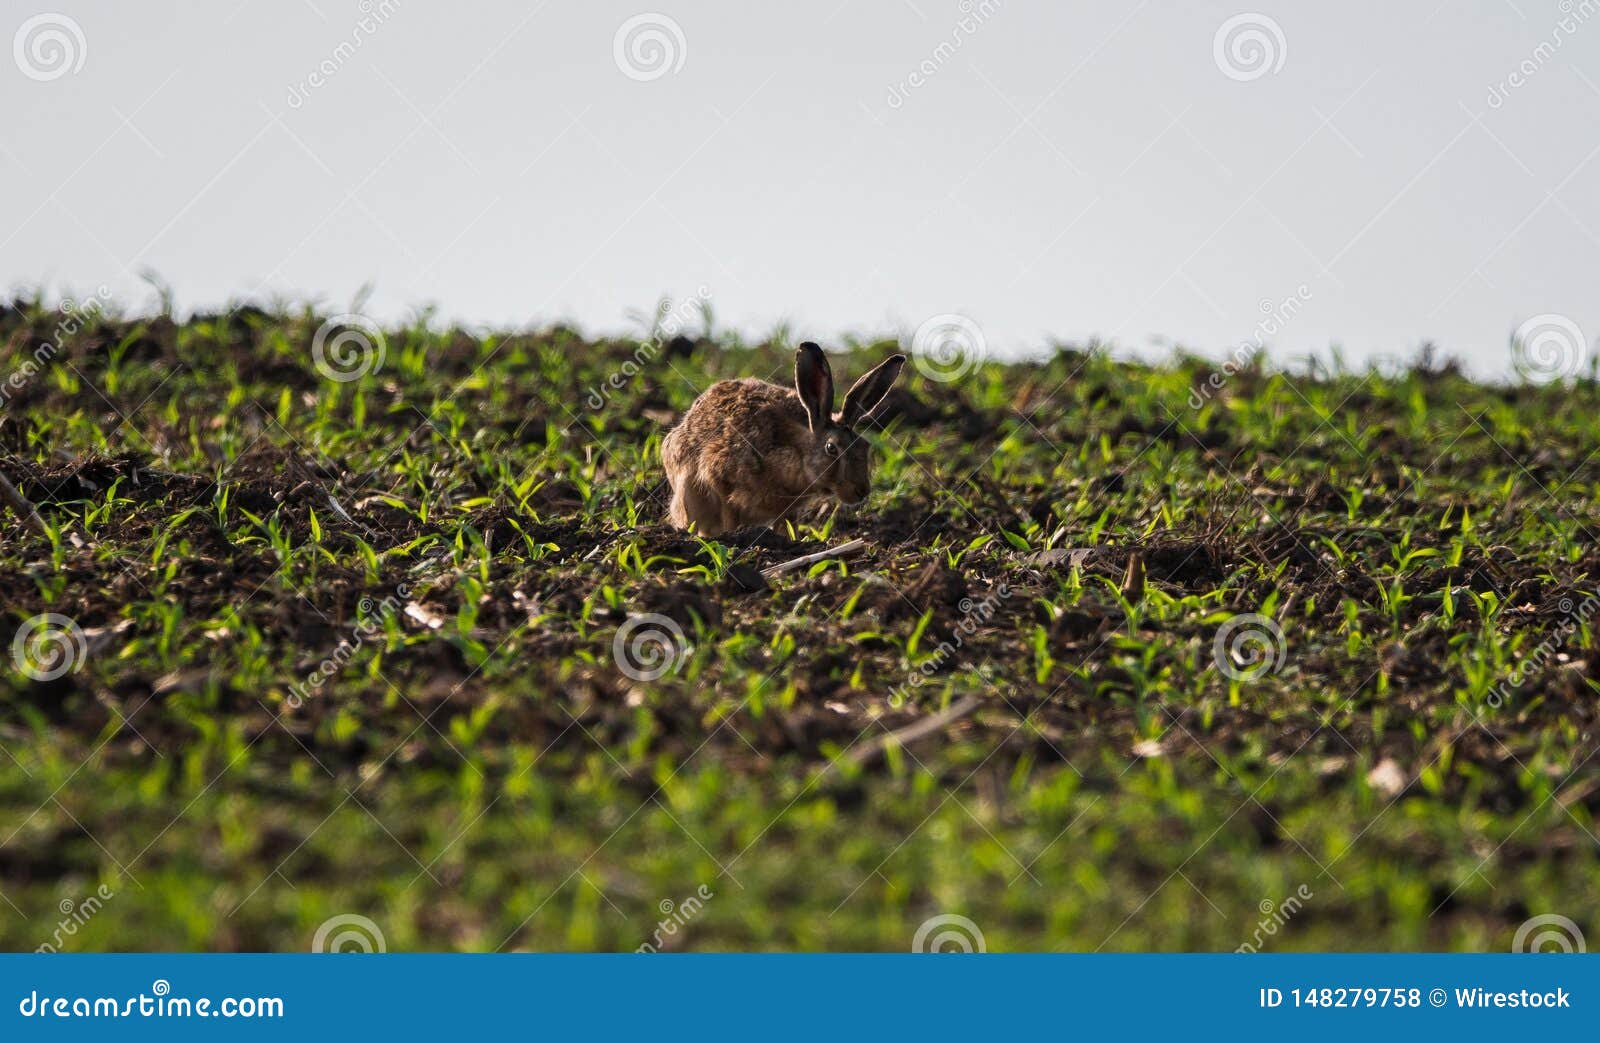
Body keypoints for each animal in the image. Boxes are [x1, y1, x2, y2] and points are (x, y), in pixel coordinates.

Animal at [662, 342, 906, 535]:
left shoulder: (789, 510)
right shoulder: (720, 479)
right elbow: (729, 515)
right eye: (831, 448)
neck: (797, 451)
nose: (862, 491)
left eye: (866, 446)